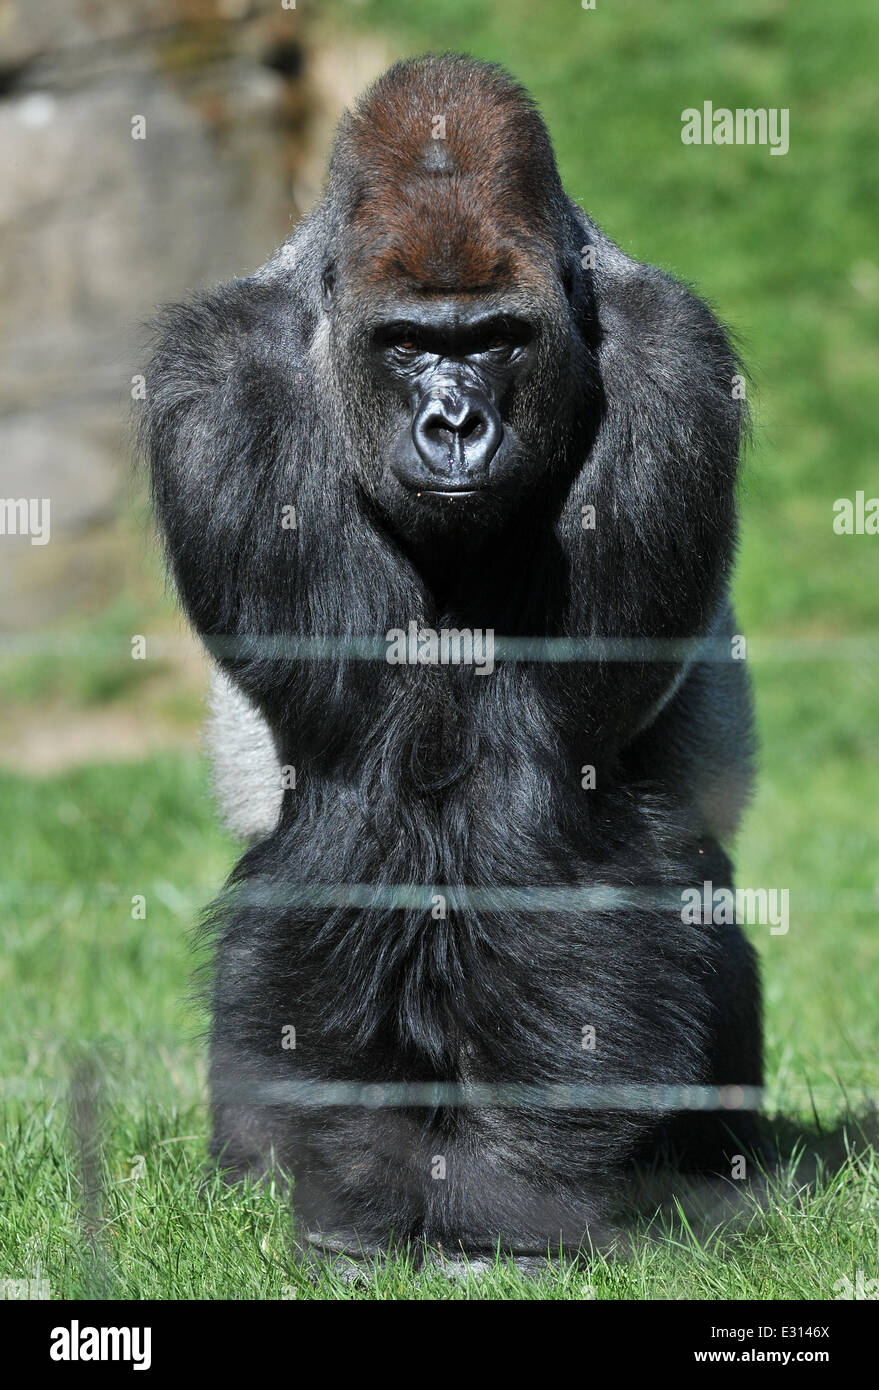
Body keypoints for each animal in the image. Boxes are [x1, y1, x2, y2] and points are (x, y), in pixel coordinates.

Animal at [141, 54, 762, 1269]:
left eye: (492, 339)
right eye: (407, 343)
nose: (455, 424)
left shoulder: (672, 369)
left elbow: (536, 802)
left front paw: (501, 1189)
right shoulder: (217, 389)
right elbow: (363, 788)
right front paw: (376, 1183)